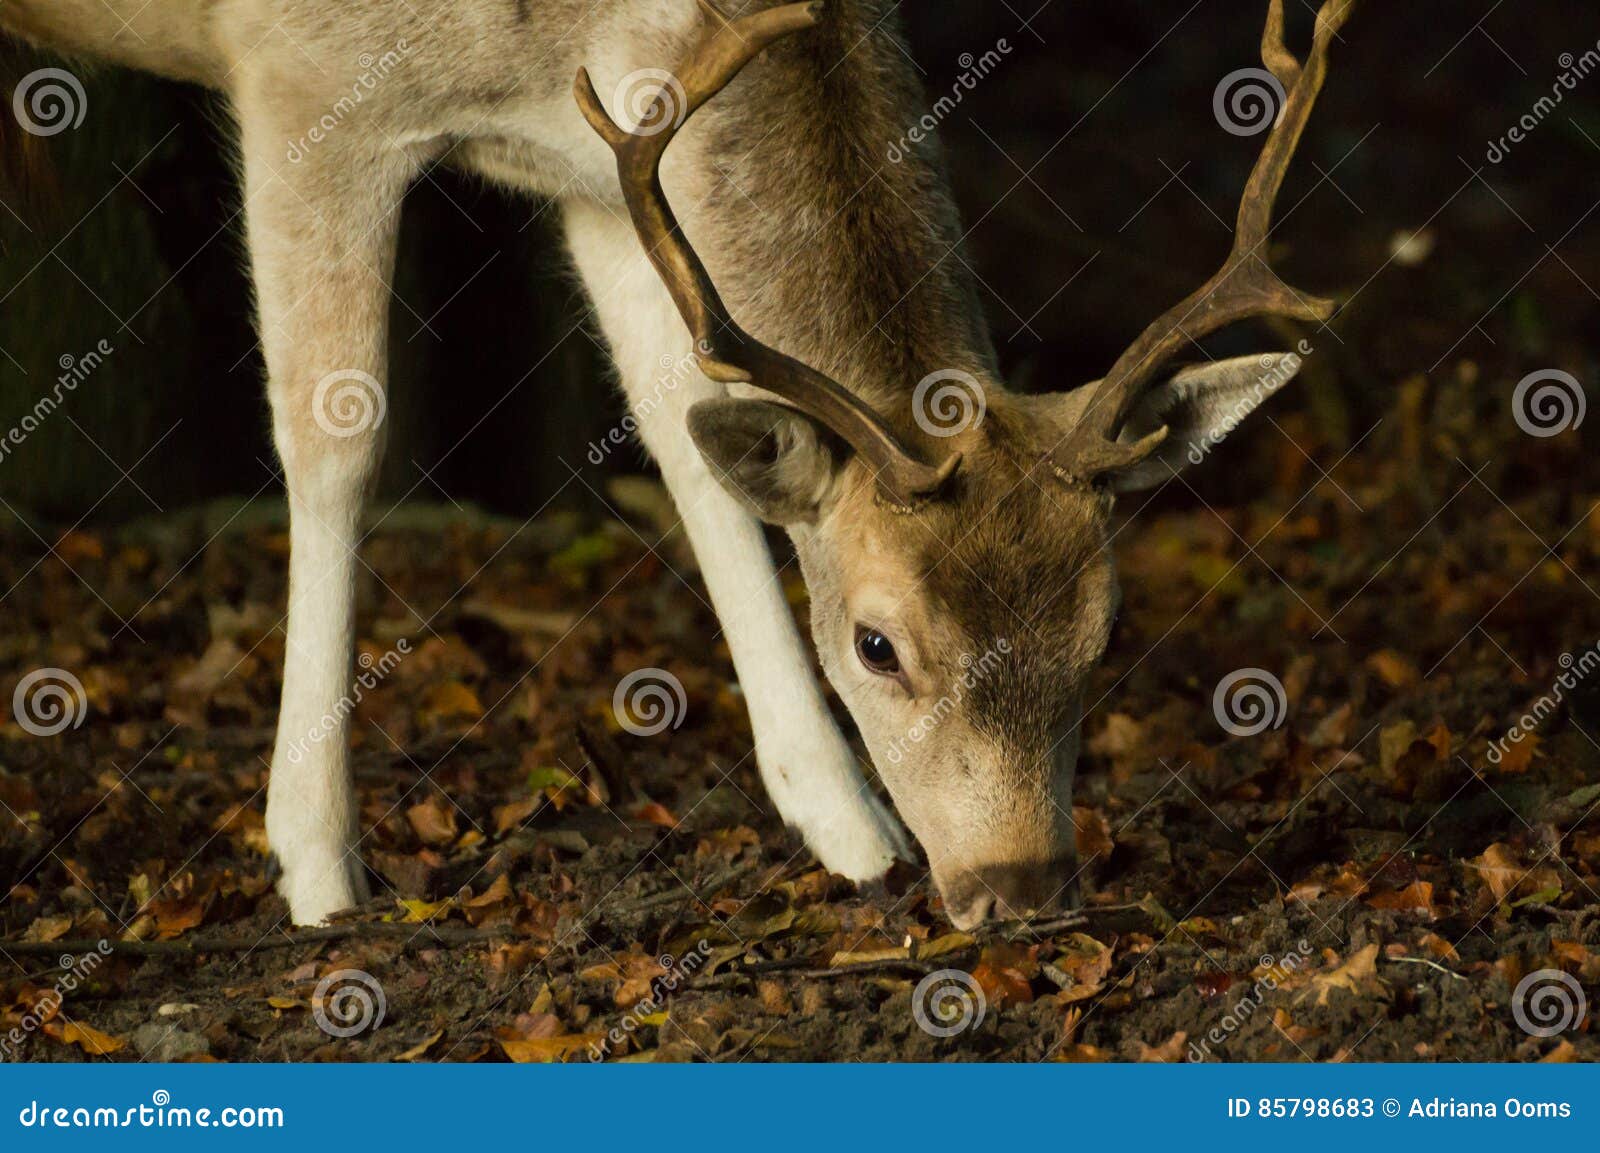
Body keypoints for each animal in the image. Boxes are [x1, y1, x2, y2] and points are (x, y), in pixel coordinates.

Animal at [0, 0, 1353, 930]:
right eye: (877, 644)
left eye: (1107, 627)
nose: (1020, 889)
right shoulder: (301, 81)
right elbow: (336, 441)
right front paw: (319, 862)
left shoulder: (600, 175)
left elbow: (686, 440)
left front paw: (846, 820)